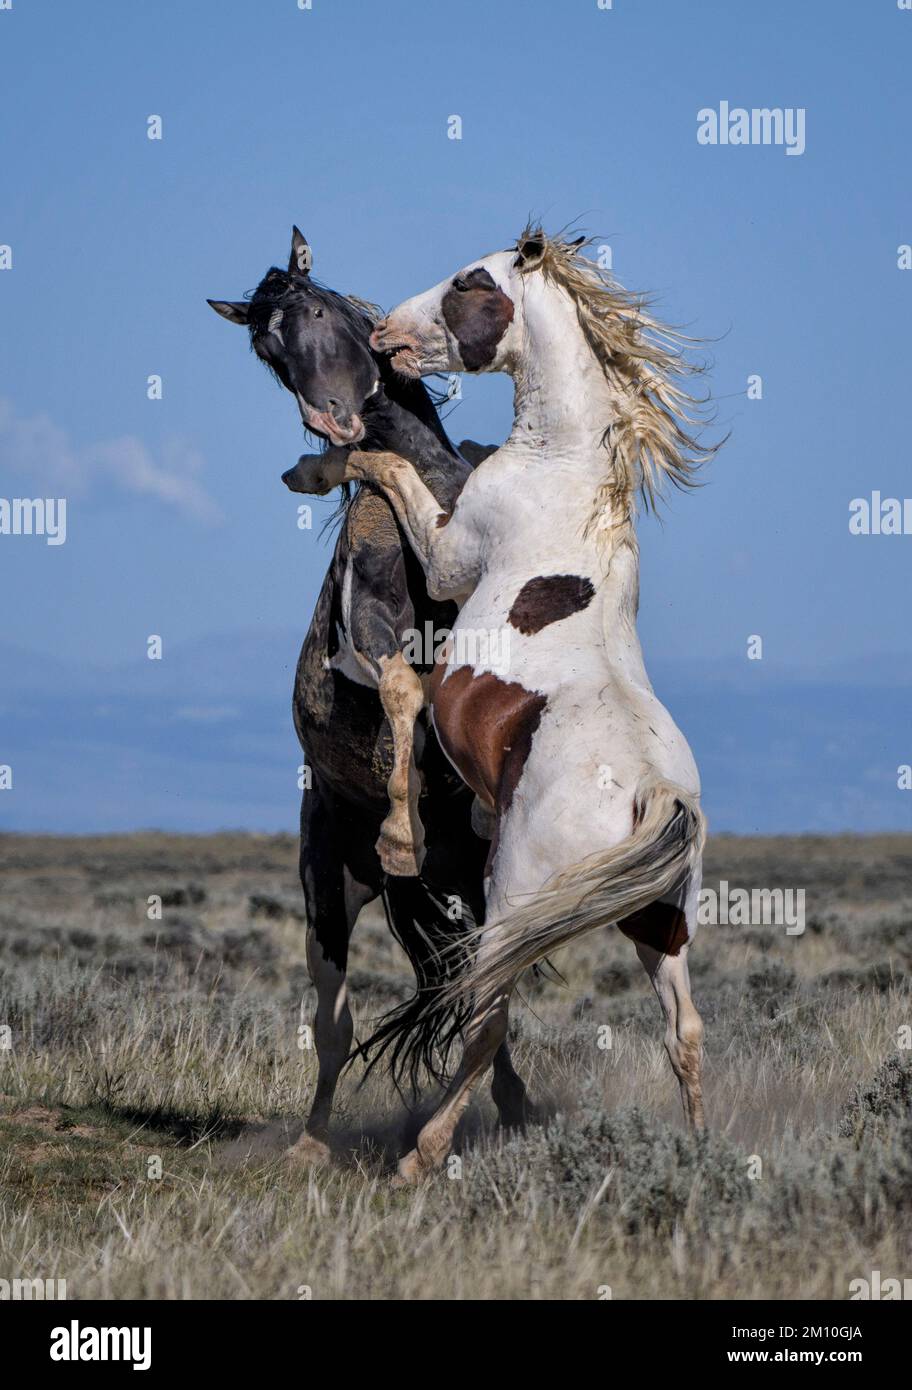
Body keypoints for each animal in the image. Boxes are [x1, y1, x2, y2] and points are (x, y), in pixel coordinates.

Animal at [207, 229, 535, 1155]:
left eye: (319, 312)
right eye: (266, 349)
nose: (332, 422)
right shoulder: (371, 633)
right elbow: (399, 690)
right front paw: (399, 829)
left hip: (477, 894)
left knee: (478, 993)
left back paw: (514, 1108)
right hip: (329, 887)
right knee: (335, 1023)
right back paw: (313, 1142)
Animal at [293, 226, 717, 1181]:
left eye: (466, 282)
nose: (385, 334)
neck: (565, 466)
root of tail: (654, 794)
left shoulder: (451, 553)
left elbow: (385, 465)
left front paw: (316, 464)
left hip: (516, 901)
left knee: (484, 1023)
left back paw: (421, 1156)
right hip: (660, 921)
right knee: (685, 1032)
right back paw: (698, 1152)